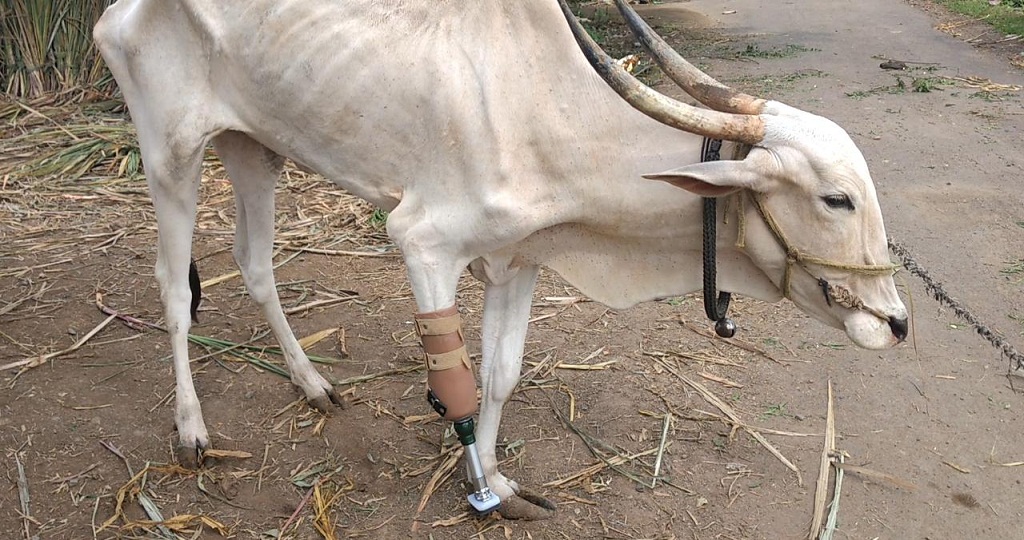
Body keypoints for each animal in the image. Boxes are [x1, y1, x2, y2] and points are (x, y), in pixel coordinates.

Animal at [93, 0, 907, 519]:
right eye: (837, 199)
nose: (896, 322)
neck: (551, 109)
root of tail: (118, 11)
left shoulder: (520, 261)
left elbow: (499, 377)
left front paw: (497, 478)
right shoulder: (423, 244)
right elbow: (454, 388)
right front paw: (479, 493)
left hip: (254, 147)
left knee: (257, 266)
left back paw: (312, 383)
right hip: (170, 155)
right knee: (173, 293)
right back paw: (192, 431)